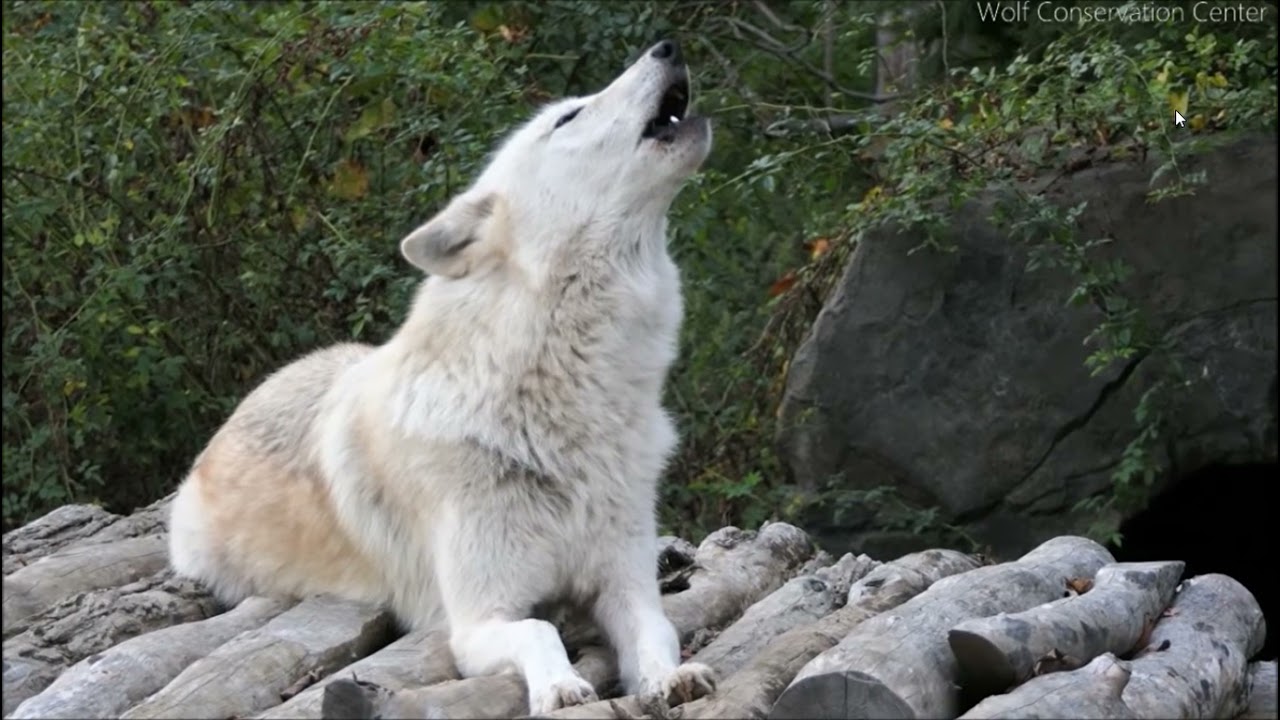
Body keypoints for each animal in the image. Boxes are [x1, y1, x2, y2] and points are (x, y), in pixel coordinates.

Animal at [167, 40, 716, 713]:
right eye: (568, 117)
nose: (668, 46)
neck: (566, 404)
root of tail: (247, 404)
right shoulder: (477, 621)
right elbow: (538, 629)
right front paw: (560, 687)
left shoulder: (625, 582)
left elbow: (656, 630)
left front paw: (669, 678)